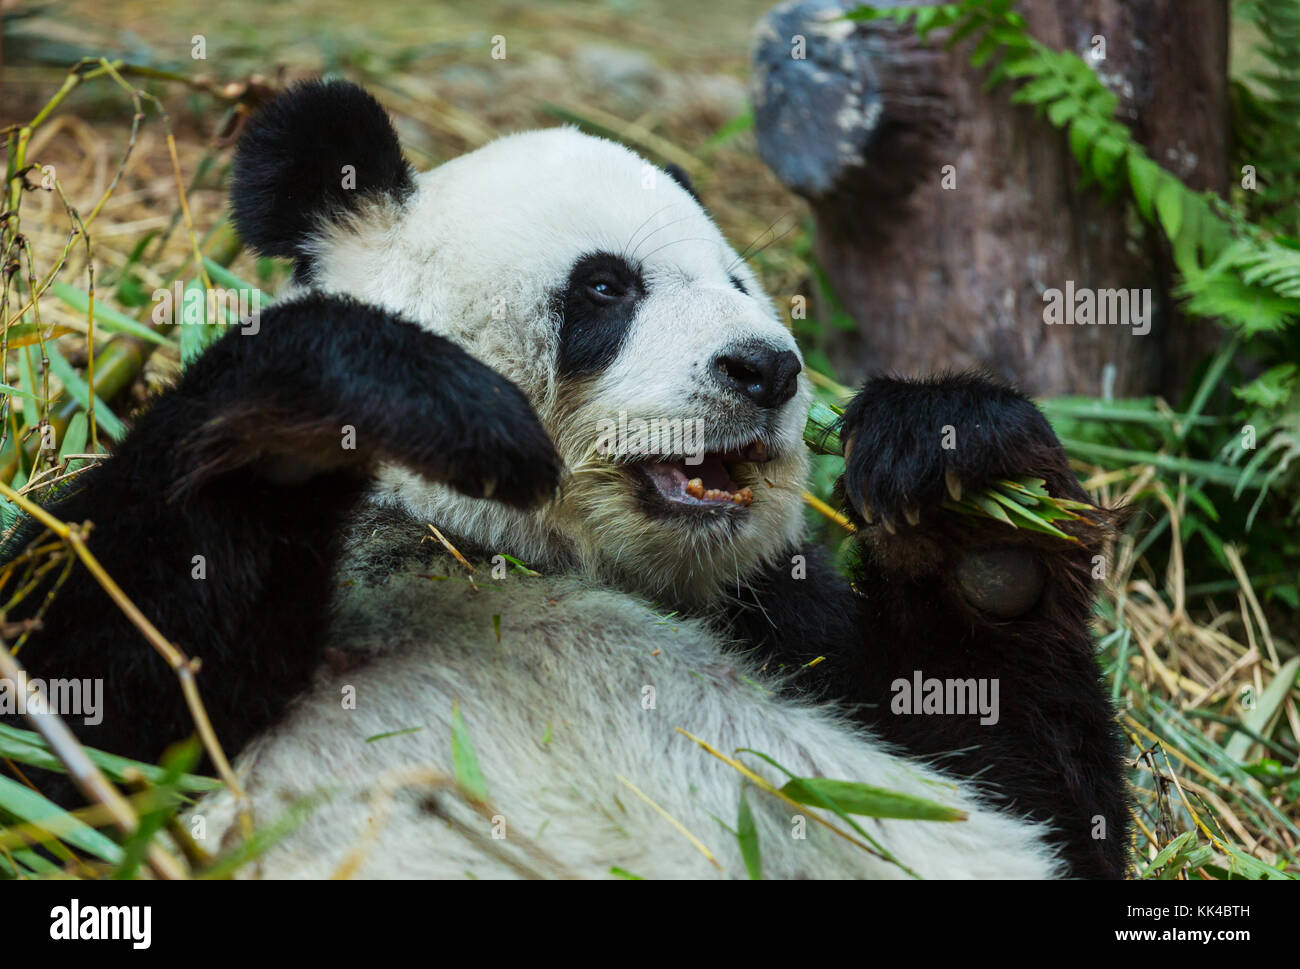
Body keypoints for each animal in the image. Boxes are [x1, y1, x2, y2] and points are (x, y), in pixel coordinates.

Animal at [4, 80, 1128, 879]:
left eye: (737, 282)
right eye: (605, 287)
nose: (766, 369)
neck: (505, 552)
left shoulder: (779, 622)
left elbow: (1035, 807)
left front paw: (964, 491)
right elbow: (77, 741)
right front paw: (380, 388)